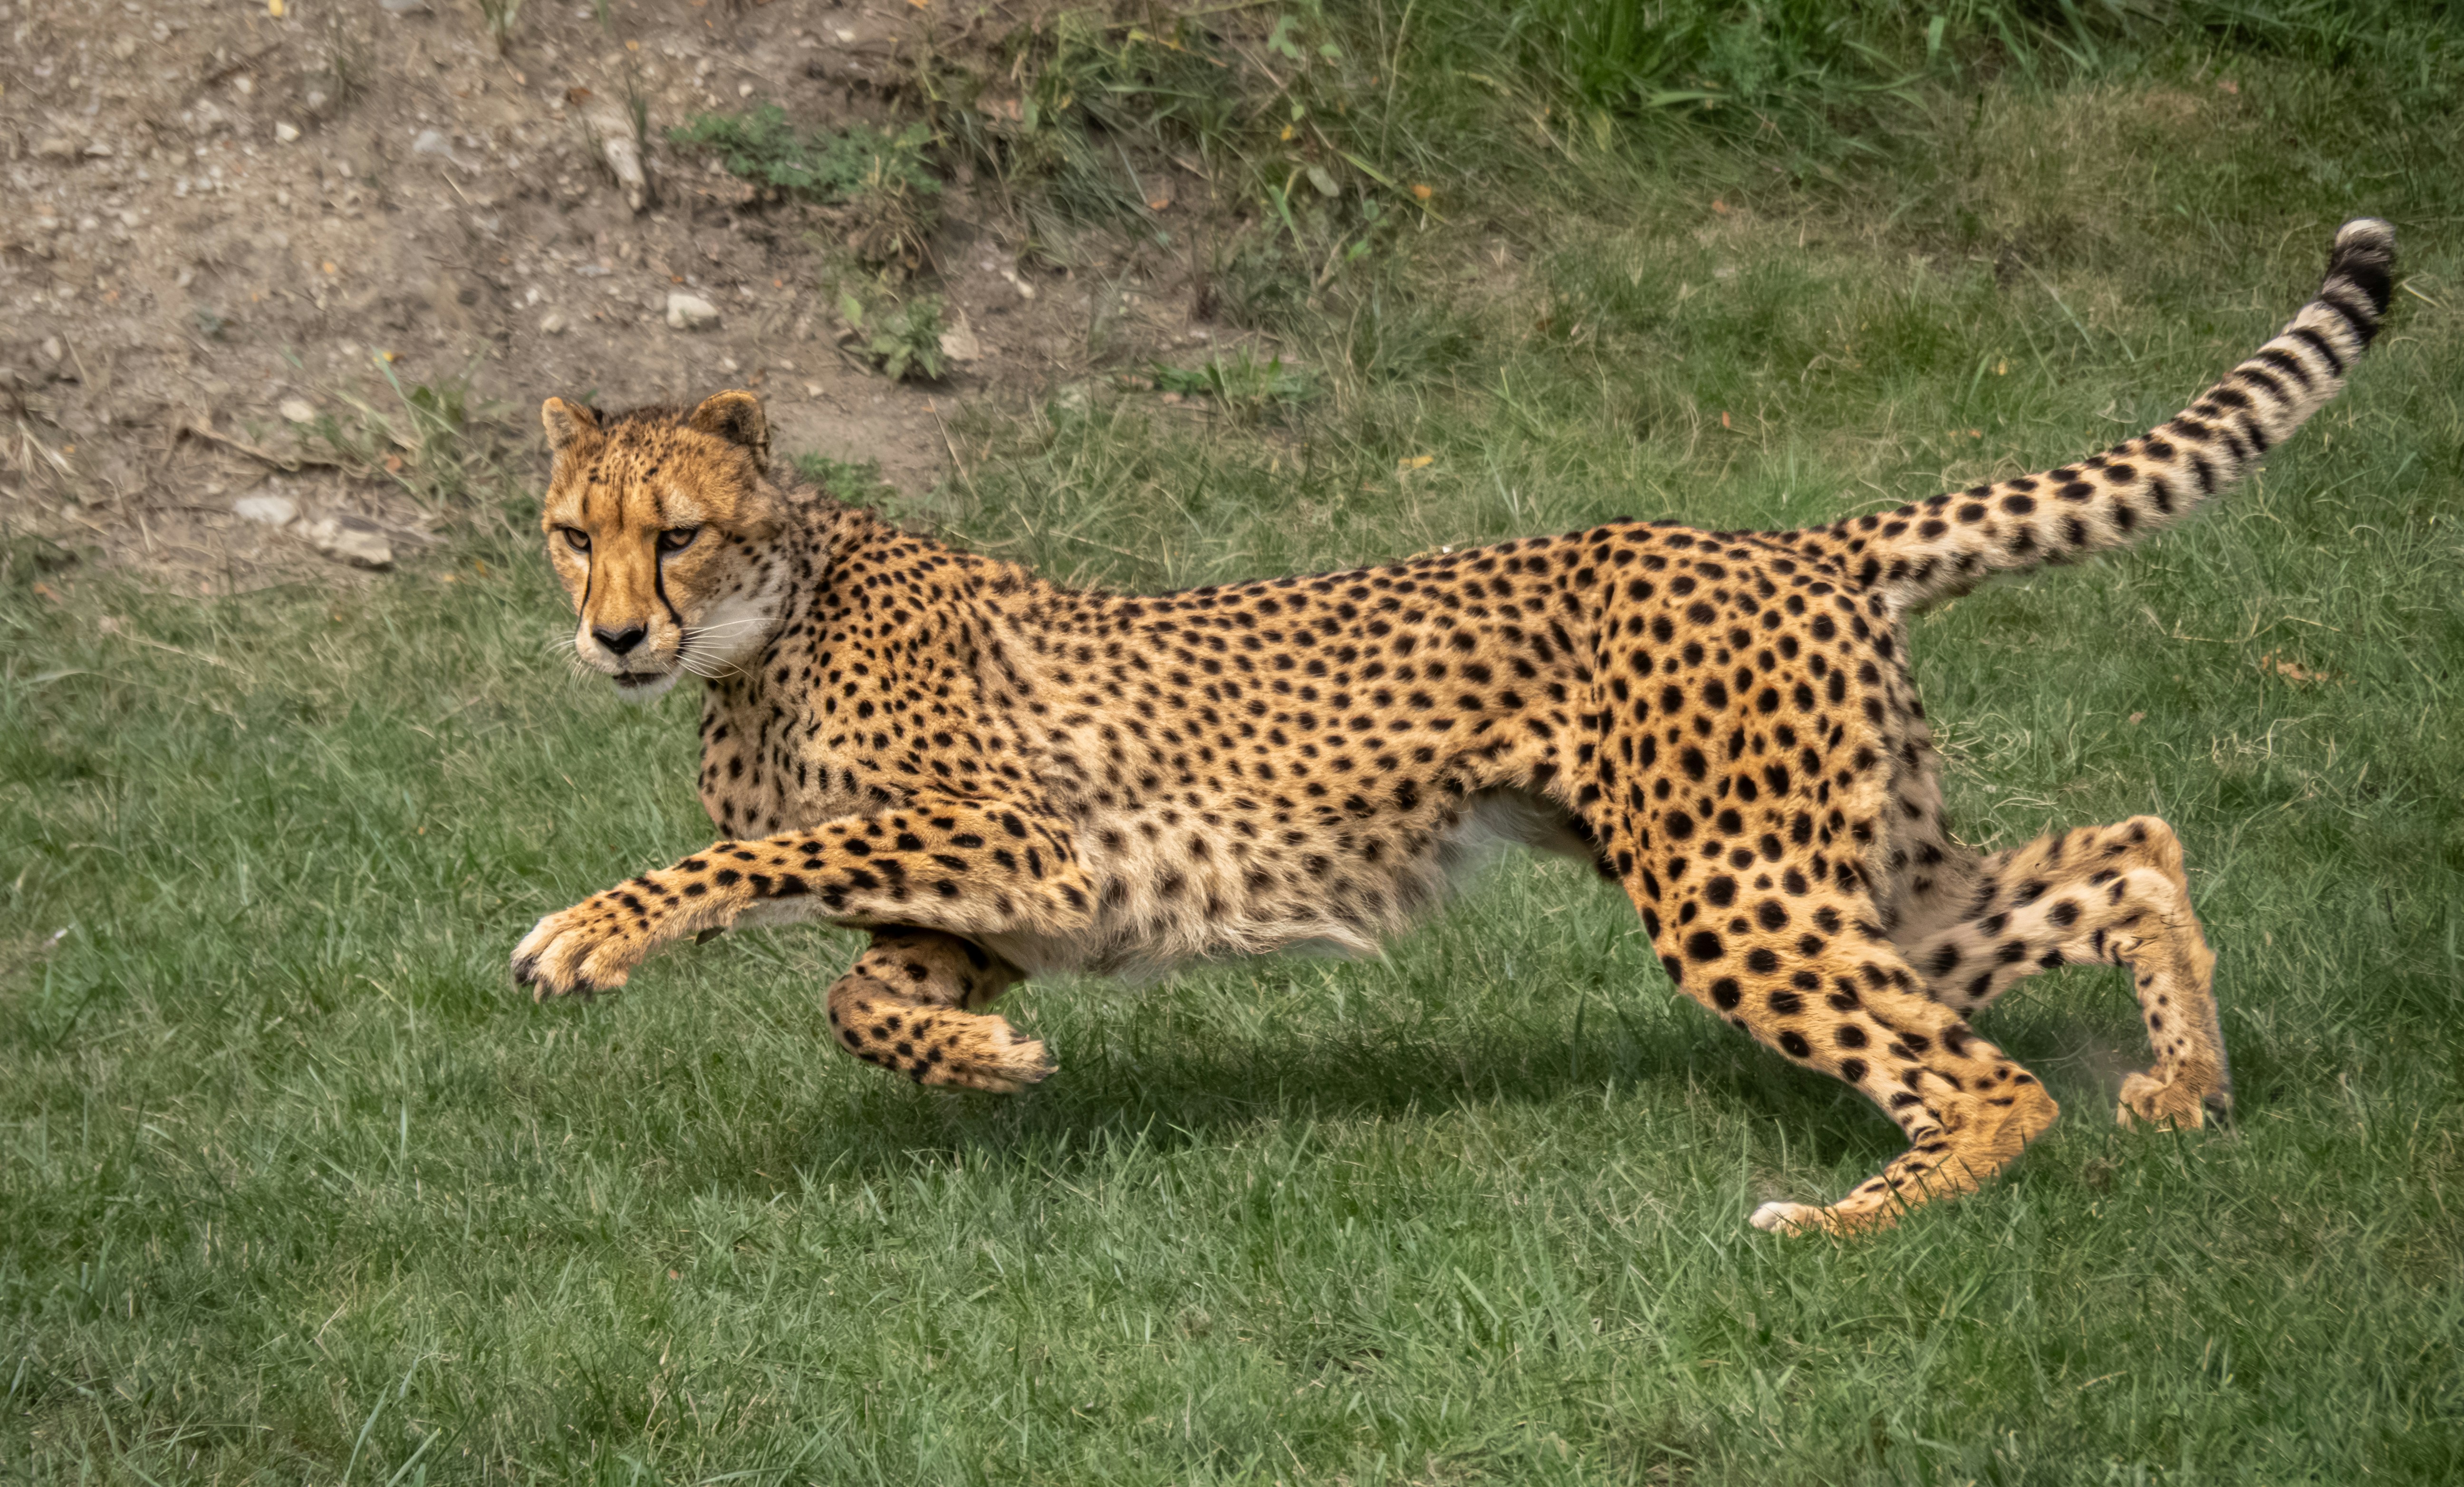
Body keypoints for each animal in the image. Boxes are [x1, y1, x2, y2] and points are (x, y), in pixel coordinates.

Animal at [514, 220, 2394, 1234]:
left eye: (672, 531)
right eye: (567, 531)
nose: (611, 635)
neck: (763, 627)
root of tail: (1780, 538)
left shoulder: (1022, 843)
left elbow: (742, 871)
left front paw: (586, 936)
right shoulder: (1002, 903)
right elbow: (859, 992)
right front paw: (985, 1061)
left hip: (1735, 890)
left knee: (1987, 1072)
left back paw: (1855, 1220)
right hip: (1856, 867)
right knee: (2126, 852)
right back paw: (2183, 1081)